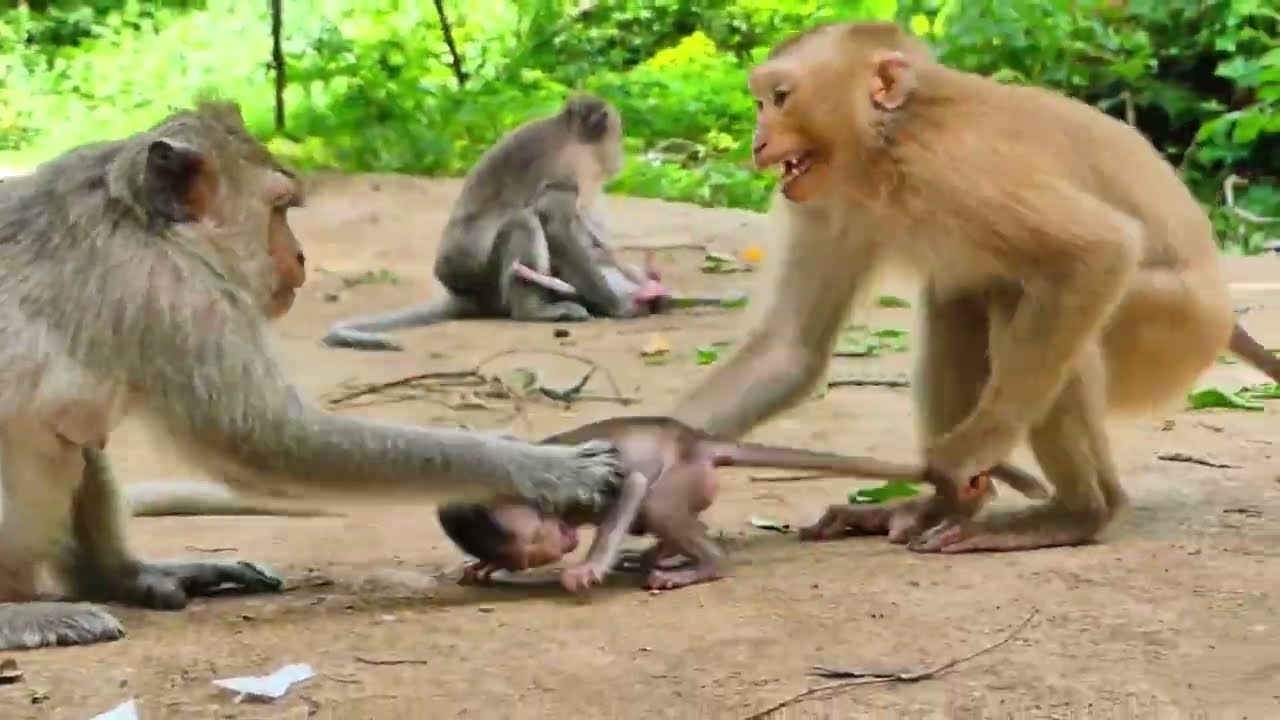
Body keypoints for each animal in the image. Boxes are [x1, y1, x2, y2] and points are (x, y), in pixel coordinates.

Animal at [0, 100, 625, 650]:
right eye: (278, 208)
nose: (300, 257)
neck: (149, 225)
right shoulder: (177, 296)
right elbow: (269, 440)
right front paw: (546, 469)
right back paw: (23, 618)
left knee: (80, 440)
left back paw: (126, 577)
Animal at [321, 95, 656, 352]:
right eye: (616, 135)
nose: (620, 157)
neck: (571, 135)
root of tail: (463, 296)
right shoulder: (571, 168)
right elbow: (555, 222)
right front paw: (617, 305)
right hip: (488, 282)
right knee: (523, 222)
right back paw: (534, 311)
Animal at [438, 416, 1050, 595]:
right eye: (529, 551)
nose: (562, 542)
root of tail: (698, 440)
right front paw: (483, 566)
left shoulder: (570, 482)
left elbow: (628, 482)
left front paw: (589, 566)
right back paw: (660, 556)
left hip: (682, 472)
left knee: (655, 504)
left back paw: (695, 566)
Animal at [663, 21, 1280, 554]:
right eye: (761, 103)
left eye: (781, 97)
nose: (757, 140)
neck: (886, 148)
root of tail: (1223, 313)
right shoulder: (824, 203)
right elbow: (788, 349)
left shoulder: (953, 163)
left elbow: (1098, 253)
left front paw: (969, 452)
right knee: (959, 296)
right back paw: (939, 509)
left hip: (1171, 332)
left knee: (1024, 293)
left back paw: (1078, 513)